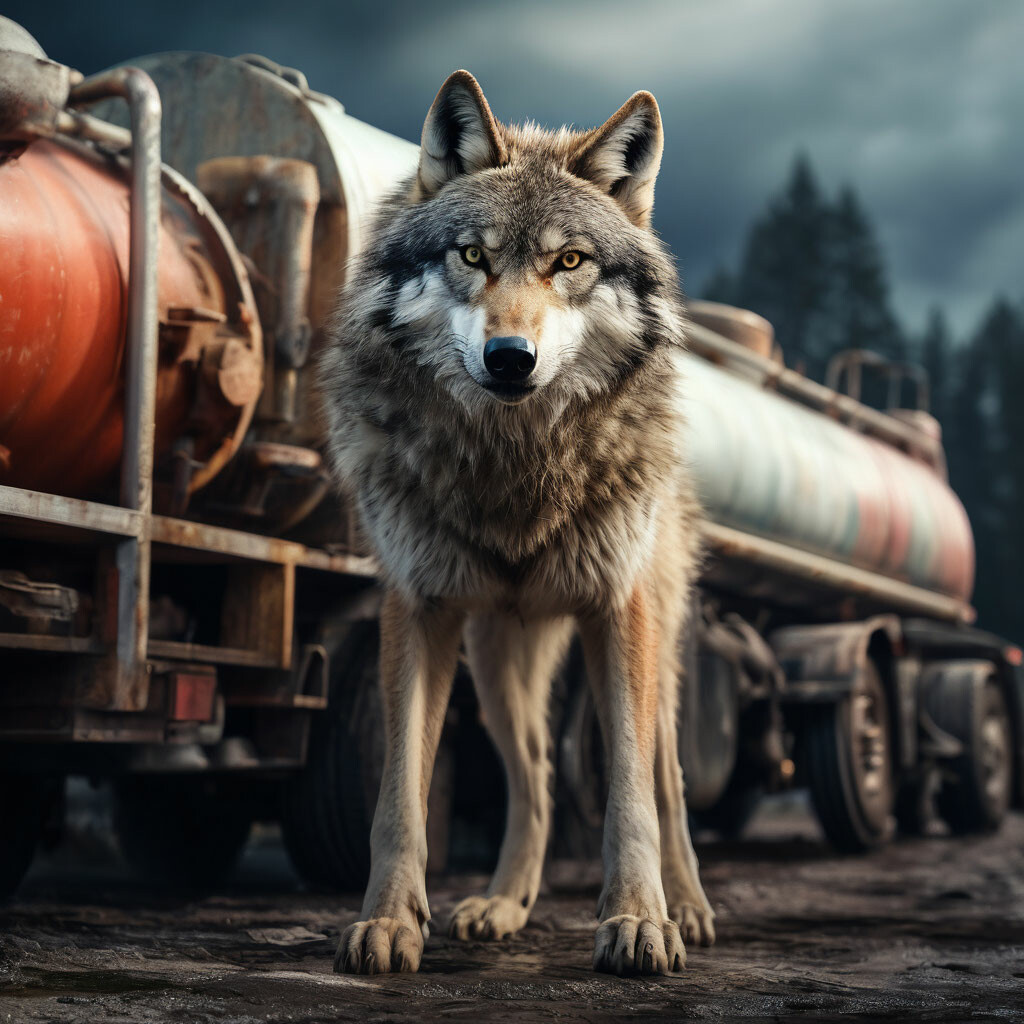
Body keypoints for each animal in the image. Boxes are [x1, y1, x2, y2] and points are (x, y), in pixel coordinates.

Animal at [319, 70, 715, 977]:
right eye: (473, 255)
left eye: (568, 261)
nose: (509, 358)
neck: (518, 466)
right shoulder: (418, 607)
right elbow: (400, 797)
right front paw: (389, 922)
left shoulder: (619, 609)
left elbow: (631, 795)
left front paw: (639, 922)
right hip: (499, 661)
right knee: (533, 774)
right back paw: (502, 905)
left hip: (654, 642)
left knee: (669, 780)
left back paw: (688, 905)